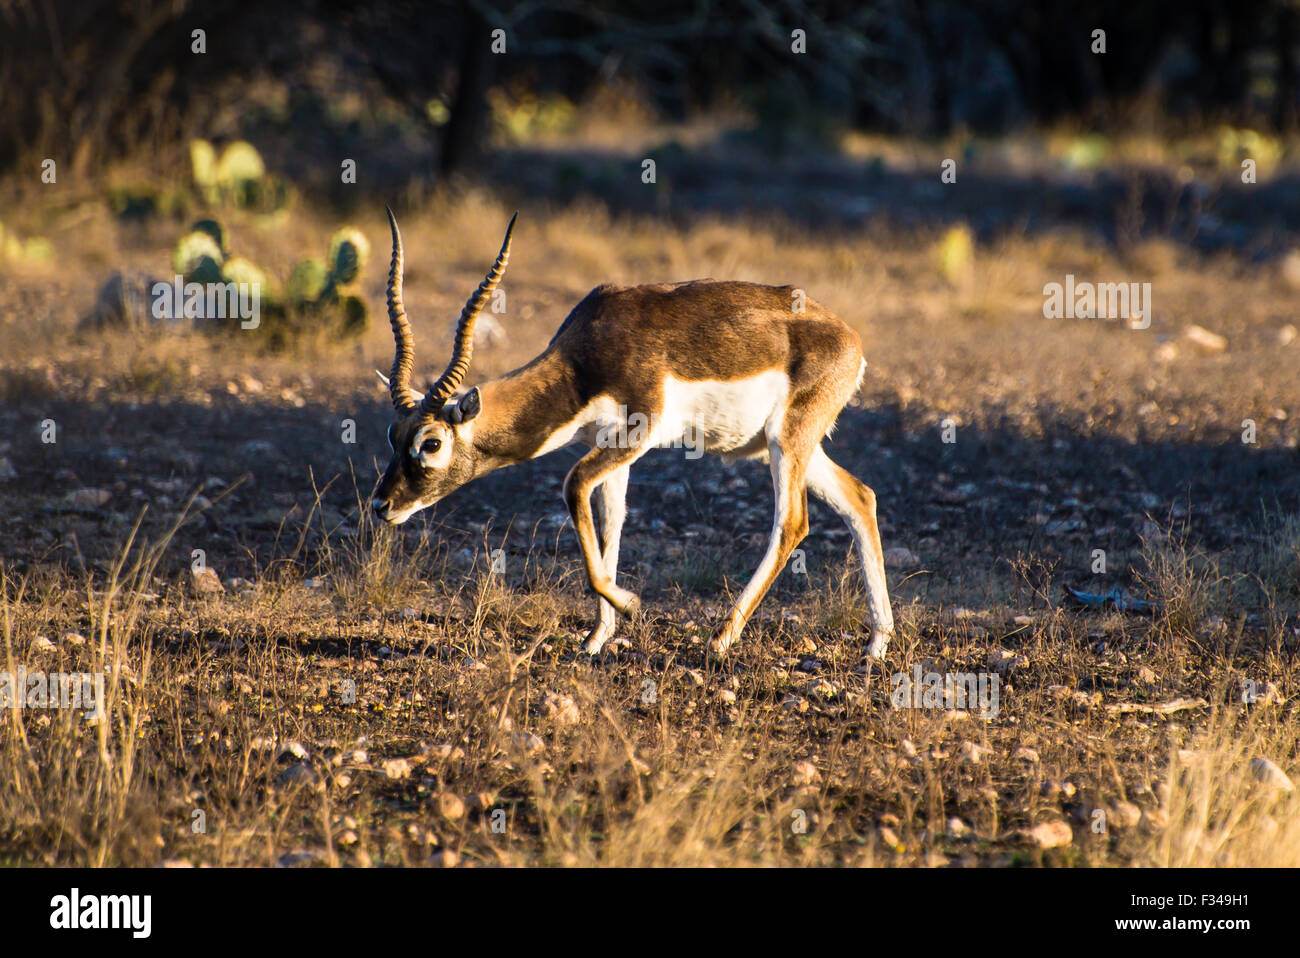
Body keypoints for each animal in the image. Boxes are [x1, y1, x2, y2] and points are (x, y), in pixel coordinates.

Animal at [371, 209, 895, 658]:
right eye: (393, 435)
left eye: (431, 443)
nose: (381, 505)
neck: (582, 364)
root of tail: (851, 339)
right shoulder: (611, 445)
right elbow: (611, 522)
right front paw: (596, 637)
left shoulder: (636, 435)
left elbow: (573, 487)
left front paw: (629, 604)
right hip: (789, 445)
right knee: (860, 497)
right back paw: (876, 643)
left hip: (787, 440)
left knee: (792, 522)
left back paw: (722, 638)